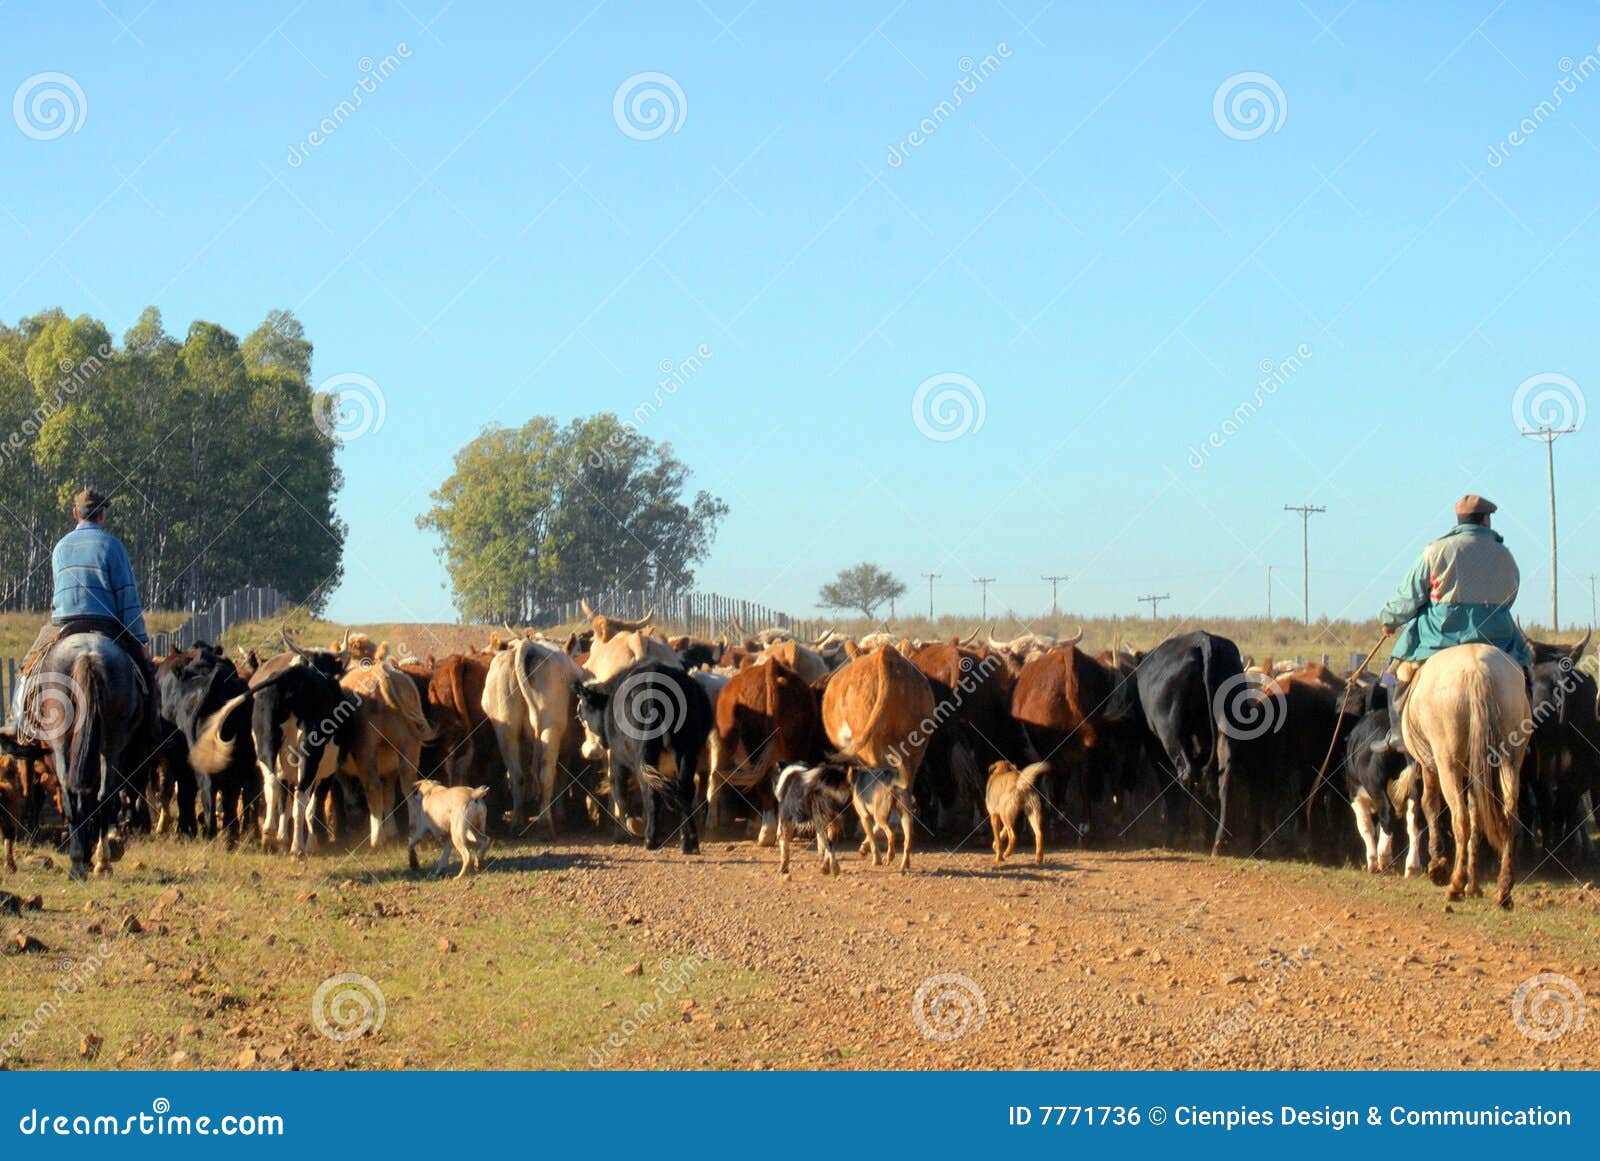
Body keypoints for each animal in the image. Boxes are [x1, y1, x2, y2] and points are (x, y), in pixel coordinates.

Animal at [32, 633, 149, 879]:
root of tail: (87, 656)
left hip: (63, 741)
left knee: (74, 794)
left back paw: (82, 863)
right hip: (111, 744)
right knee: (101, 796)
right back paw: (100, 861)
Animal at [1402, 643, 1529, 909]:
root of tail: (1477, 670)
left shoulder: (1429, 765)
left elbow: (1430, 805)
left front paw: (1438, 866)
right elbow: (1477, 818)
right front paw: (1475, 886)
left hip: (1447, 762)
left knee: (1459, 818)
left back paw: (1455, 885)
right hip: (1510, 758)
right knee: (1509, 817)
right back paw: (1503, 890)